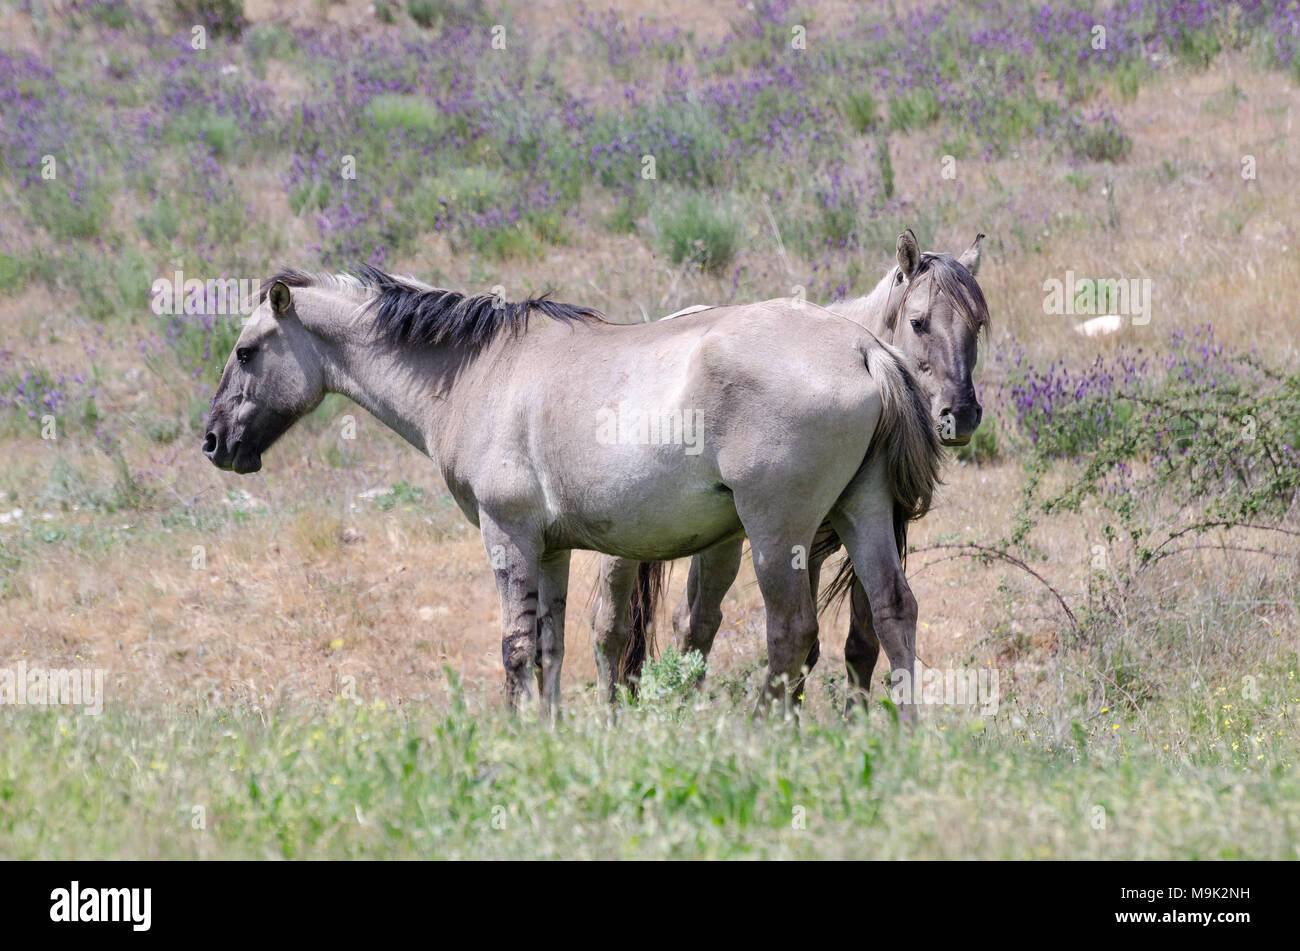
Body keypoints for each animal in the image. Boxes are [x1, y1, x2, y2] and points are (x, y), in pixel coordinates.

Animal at [202, 266, 943, 718]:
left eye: (245, 351)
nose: (213, 441)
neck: (482, 371)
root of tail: (864, 349)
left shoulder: (507, 536)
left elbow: (515, 646)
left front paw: (517, 734)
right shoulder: (552, 550)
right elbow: (551, 646)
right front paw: (552, 732)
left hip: (775, 535)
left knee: (792, 633)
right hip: (863, 515)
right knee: (893, 611)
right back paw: (904, 732)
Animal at [596, 230, 989, 711]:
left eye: (976, 325)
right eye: (918, 323)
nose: (961, 415)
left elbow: (865, 637)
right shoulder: (809, 548)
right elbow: (812, 646)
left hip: (721, 541)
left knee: (695, 621)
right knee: (616, 625)